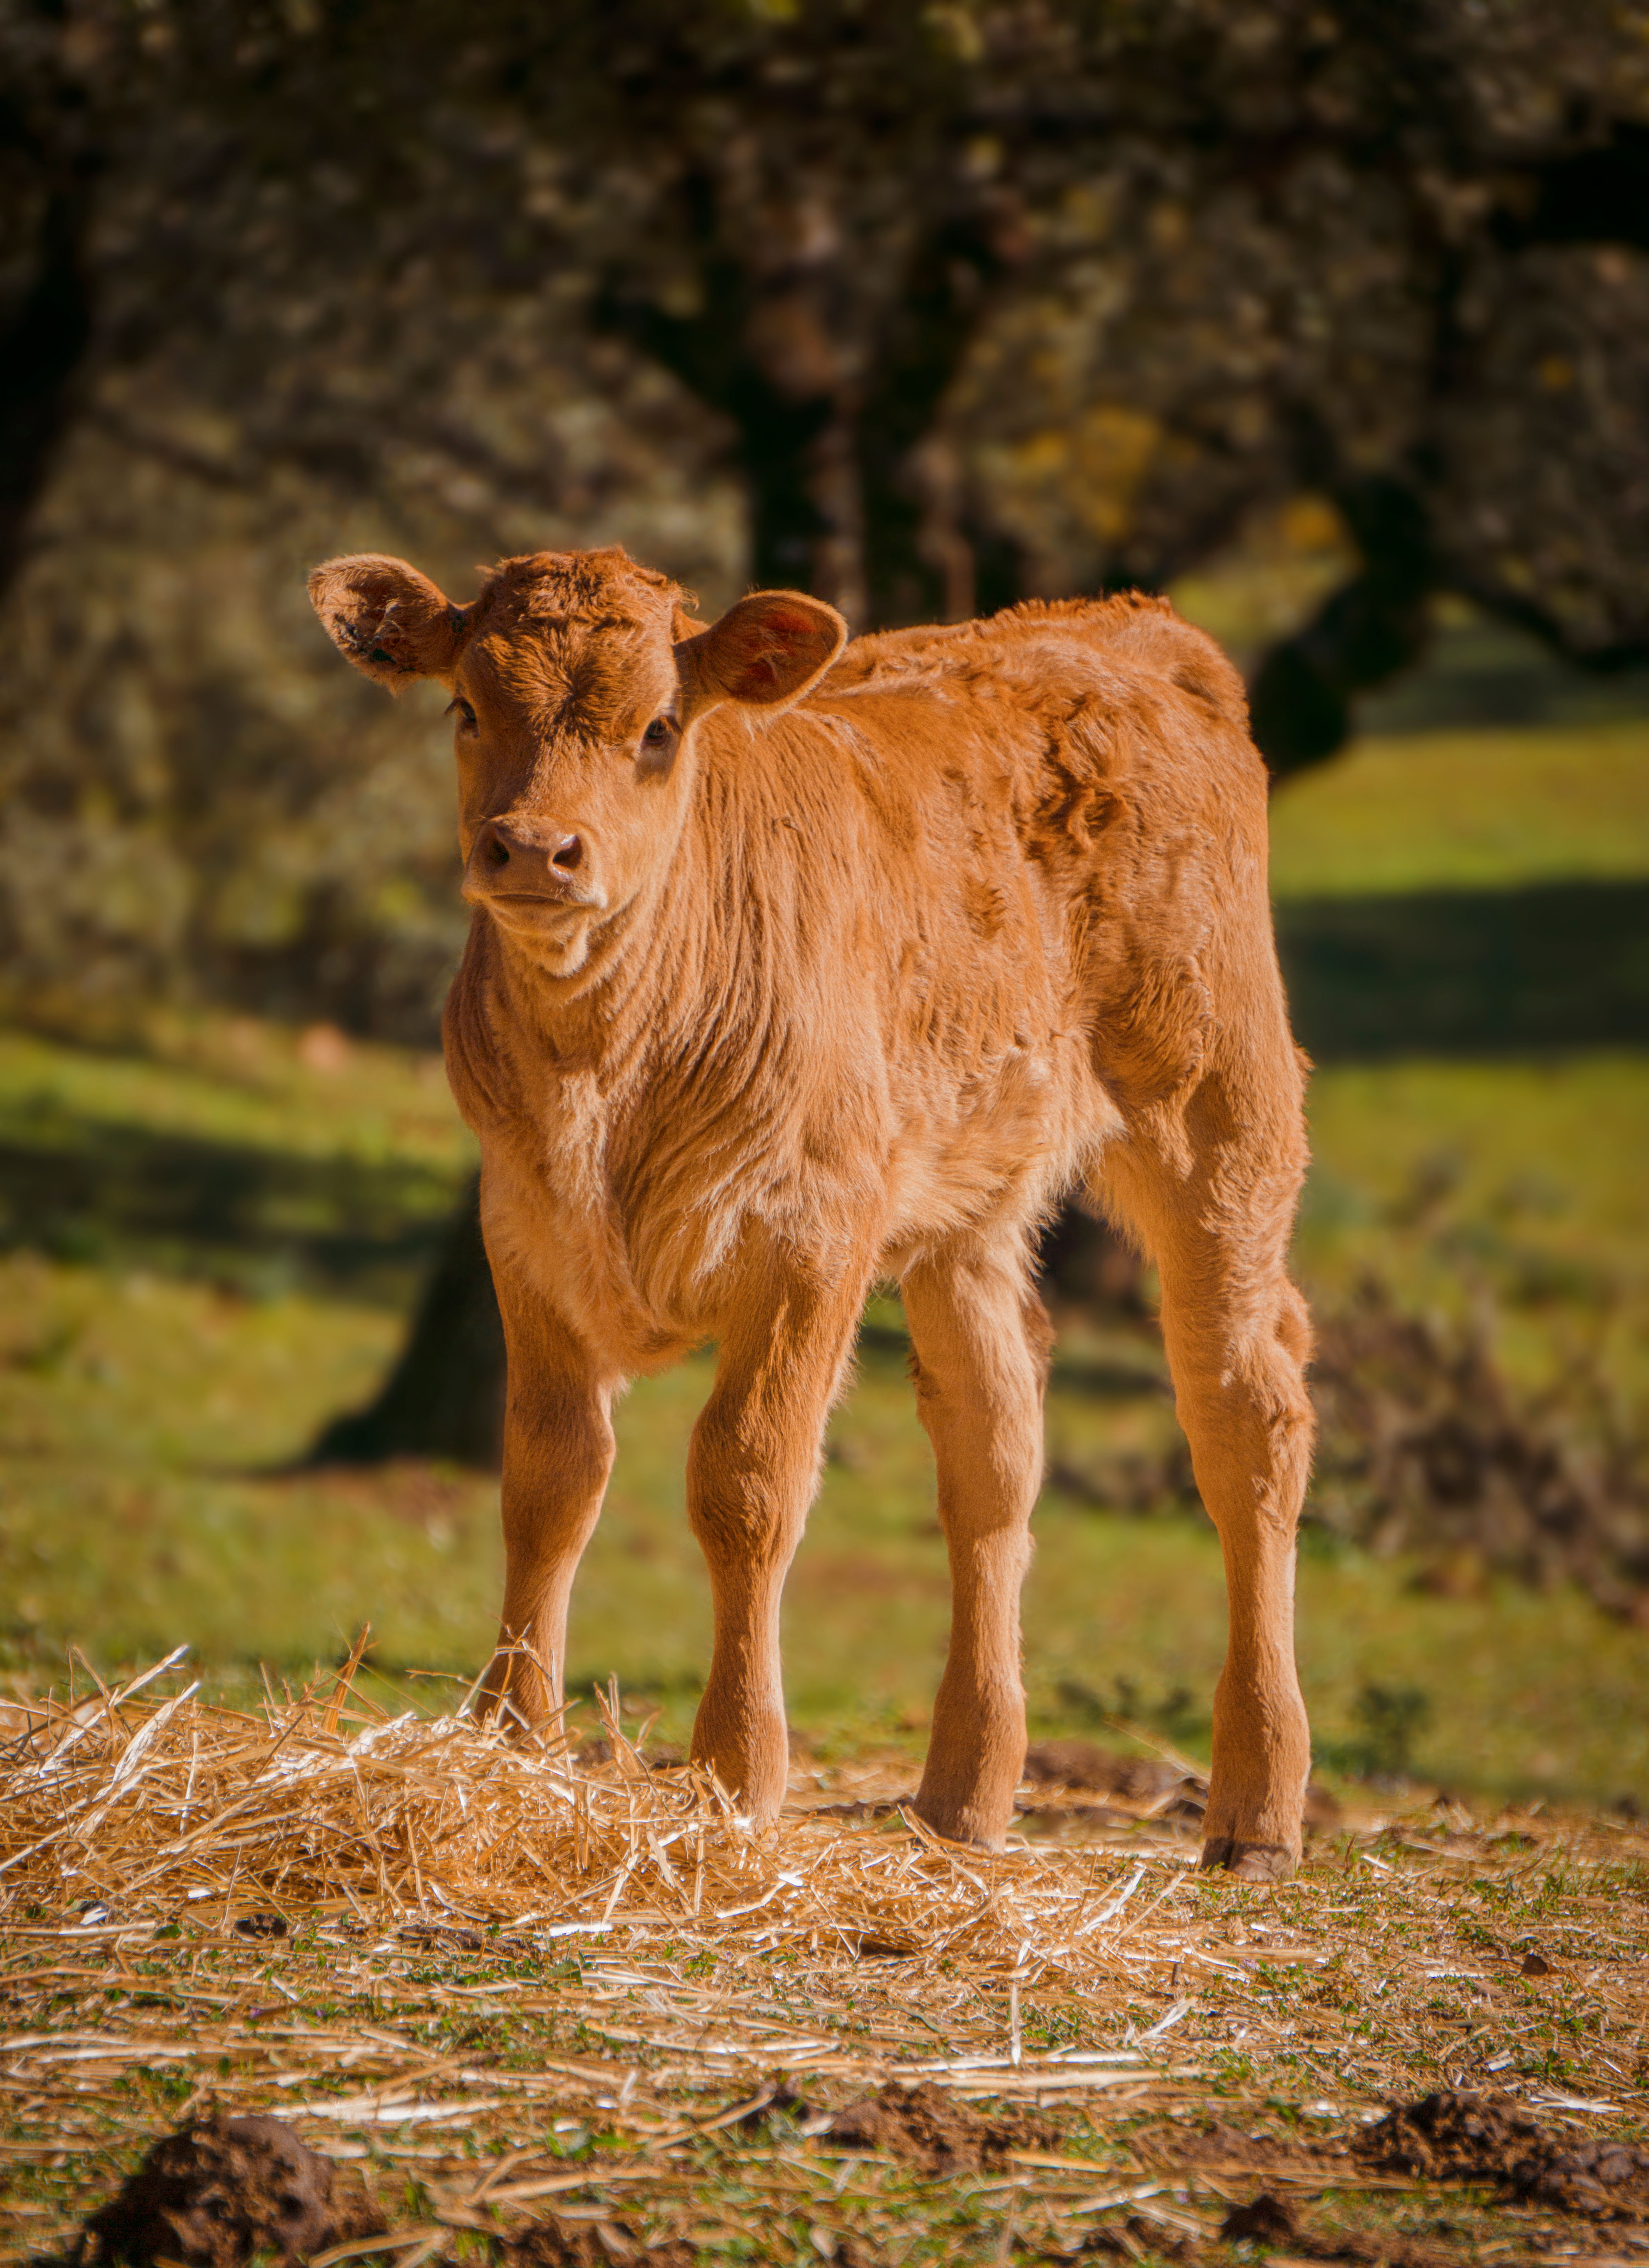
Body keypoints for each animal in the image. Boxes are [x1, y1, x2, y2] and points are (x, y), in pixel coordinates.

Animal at [309, 546, 1315, 1879]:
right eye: (465, 709)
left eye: (657, 728)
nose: (530, 850)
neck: (606, 1060)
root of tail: (1123, 625)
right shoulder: (523, 1234)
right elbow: (547, 1478)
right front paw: (510, 1740)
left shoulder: (807, 1240)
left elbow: (744, 1483)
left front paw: (735, 1770)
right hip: (965, 1198)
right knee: (992, 1445)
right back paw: (960, 1795)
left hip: (1219, 1116)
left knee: (1244, 1420)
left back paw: (1254, 1806)